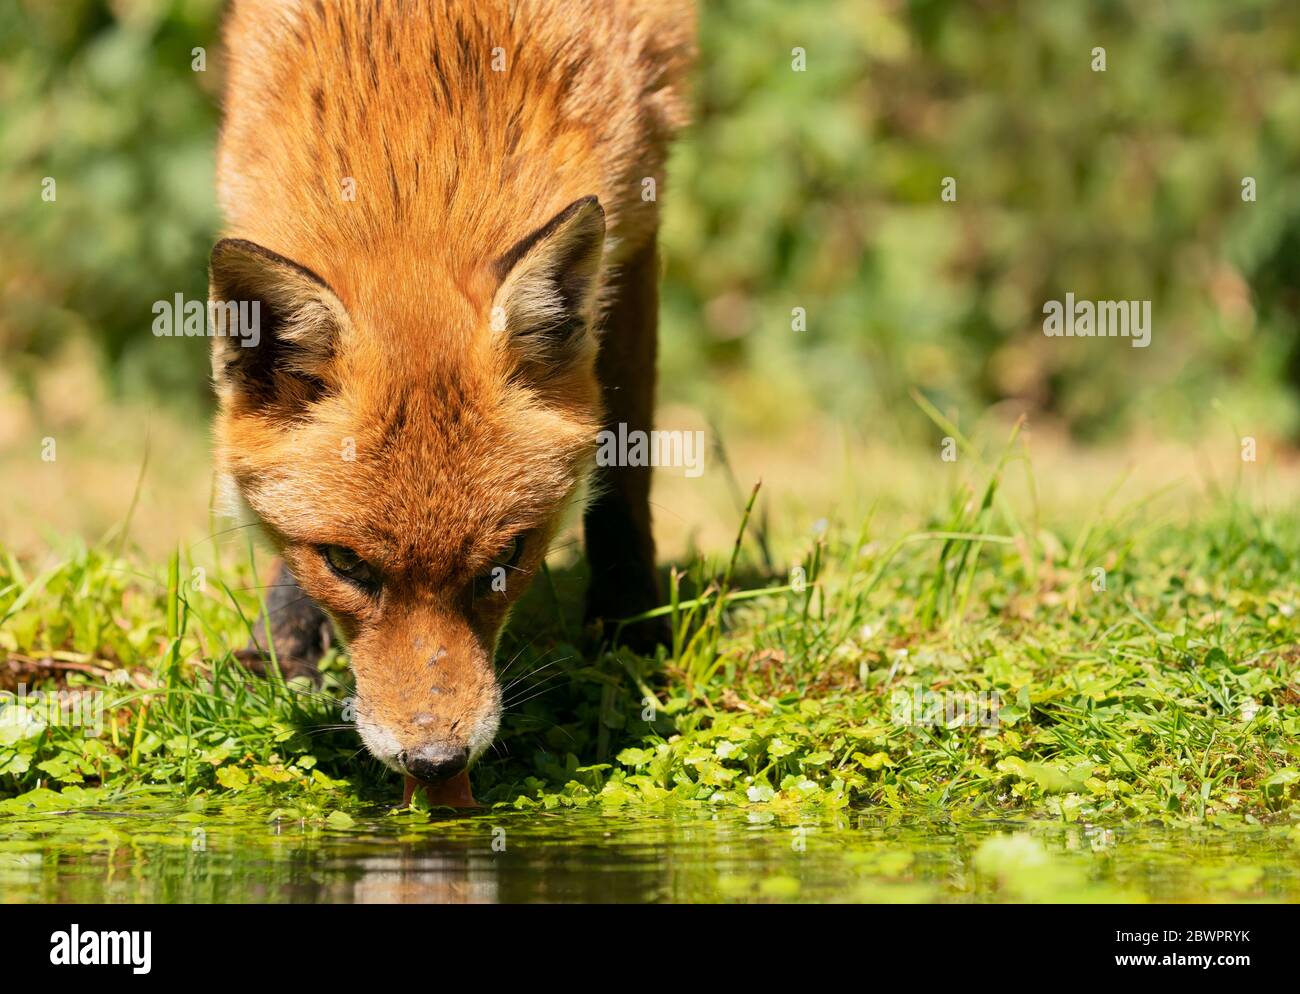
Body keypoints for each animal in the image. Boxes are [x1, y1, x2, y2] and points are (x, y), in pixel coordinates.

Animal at [209, 0, 694, 799]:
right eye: (344, 564)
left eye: (506, 559)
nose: (435, 761)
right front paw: (281, 646)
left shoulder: (640, 208)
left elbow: (630, 458)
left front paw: (630, 627)